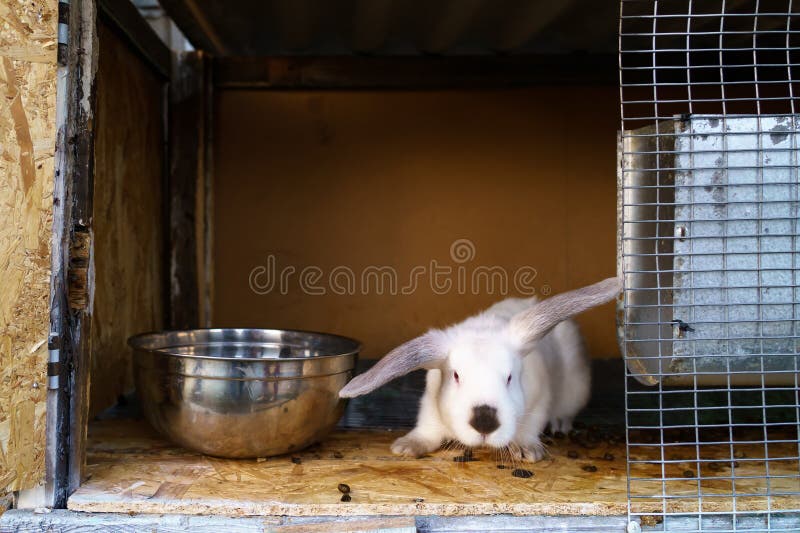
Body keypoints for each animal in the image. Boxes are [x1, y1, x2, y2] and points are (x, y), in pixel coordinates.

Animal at [339, 277, 621, 462]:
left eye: (509, 377)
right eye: (456, 376)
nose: (485, 421)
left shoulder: (540, 399)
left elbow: (530, 426)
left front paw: (527, 450)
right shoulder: (430, 403)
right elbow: (427, 427)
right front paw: (407, 446)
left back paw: (560, 423)